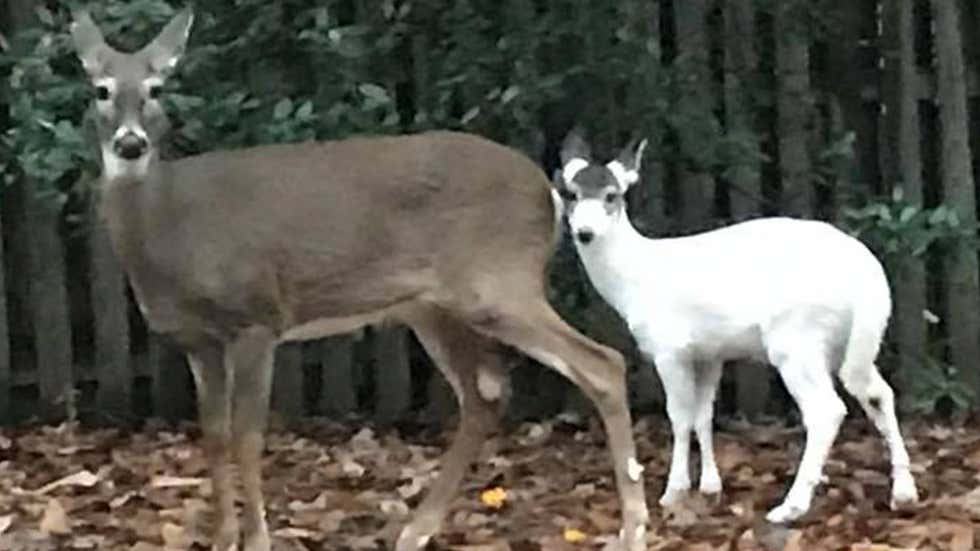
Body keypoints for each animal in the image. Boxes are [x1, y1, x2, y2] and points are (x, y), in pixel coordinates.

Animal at [68, 10, 650, 551]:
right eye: (100, 89)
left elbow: (247, 436)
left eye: (156, 88)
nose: (130, 145)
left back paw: (633, 525)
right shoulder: (197, 340)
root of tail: (549, 195)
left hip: (498, 282)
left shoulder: (256, 316)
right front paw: (222, 538)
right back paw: (417, 528)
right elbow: (212, 436)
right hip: (431, 306)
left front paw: (256, 538)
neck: (171, 229)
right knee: (486, 390)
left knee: (601, 363)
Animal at [551, 131, 920, 523]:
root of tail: (870, 276)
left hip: (797, 336)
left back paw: (790, 506)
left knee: (827, 409)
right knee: (879, 392)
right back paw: (903, 493)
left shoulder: (669, 347)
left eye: (612, 195)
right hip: (847, 339)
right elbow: (703, 415)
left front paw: (673, 493)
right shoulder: (710, 352)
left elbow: (679, 416)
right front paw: (710, 487)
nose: (585, 233)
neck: (633, 282)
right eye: (570, 194)